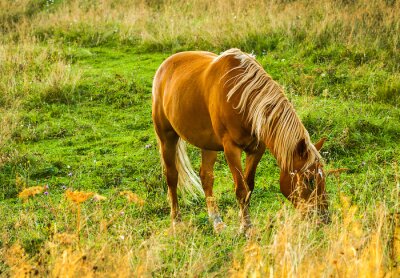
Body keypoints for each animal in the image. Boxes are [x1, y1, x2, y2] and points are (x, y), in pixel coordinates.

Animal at [152, 48, 330, 232]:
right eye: (309, 180)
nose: (324, 218)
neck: (243, 98)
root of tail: (164, 66)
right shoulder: (231, 149)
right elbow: (241, 190)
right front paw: (246, 227)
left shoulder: (257, 149)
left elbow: (248, 186)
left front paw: (243, 220)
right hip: (166, 136)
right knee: (172, 176)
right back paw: (176, 220)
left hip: (207, 144)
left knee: (206, 177)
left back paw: (217, 222)